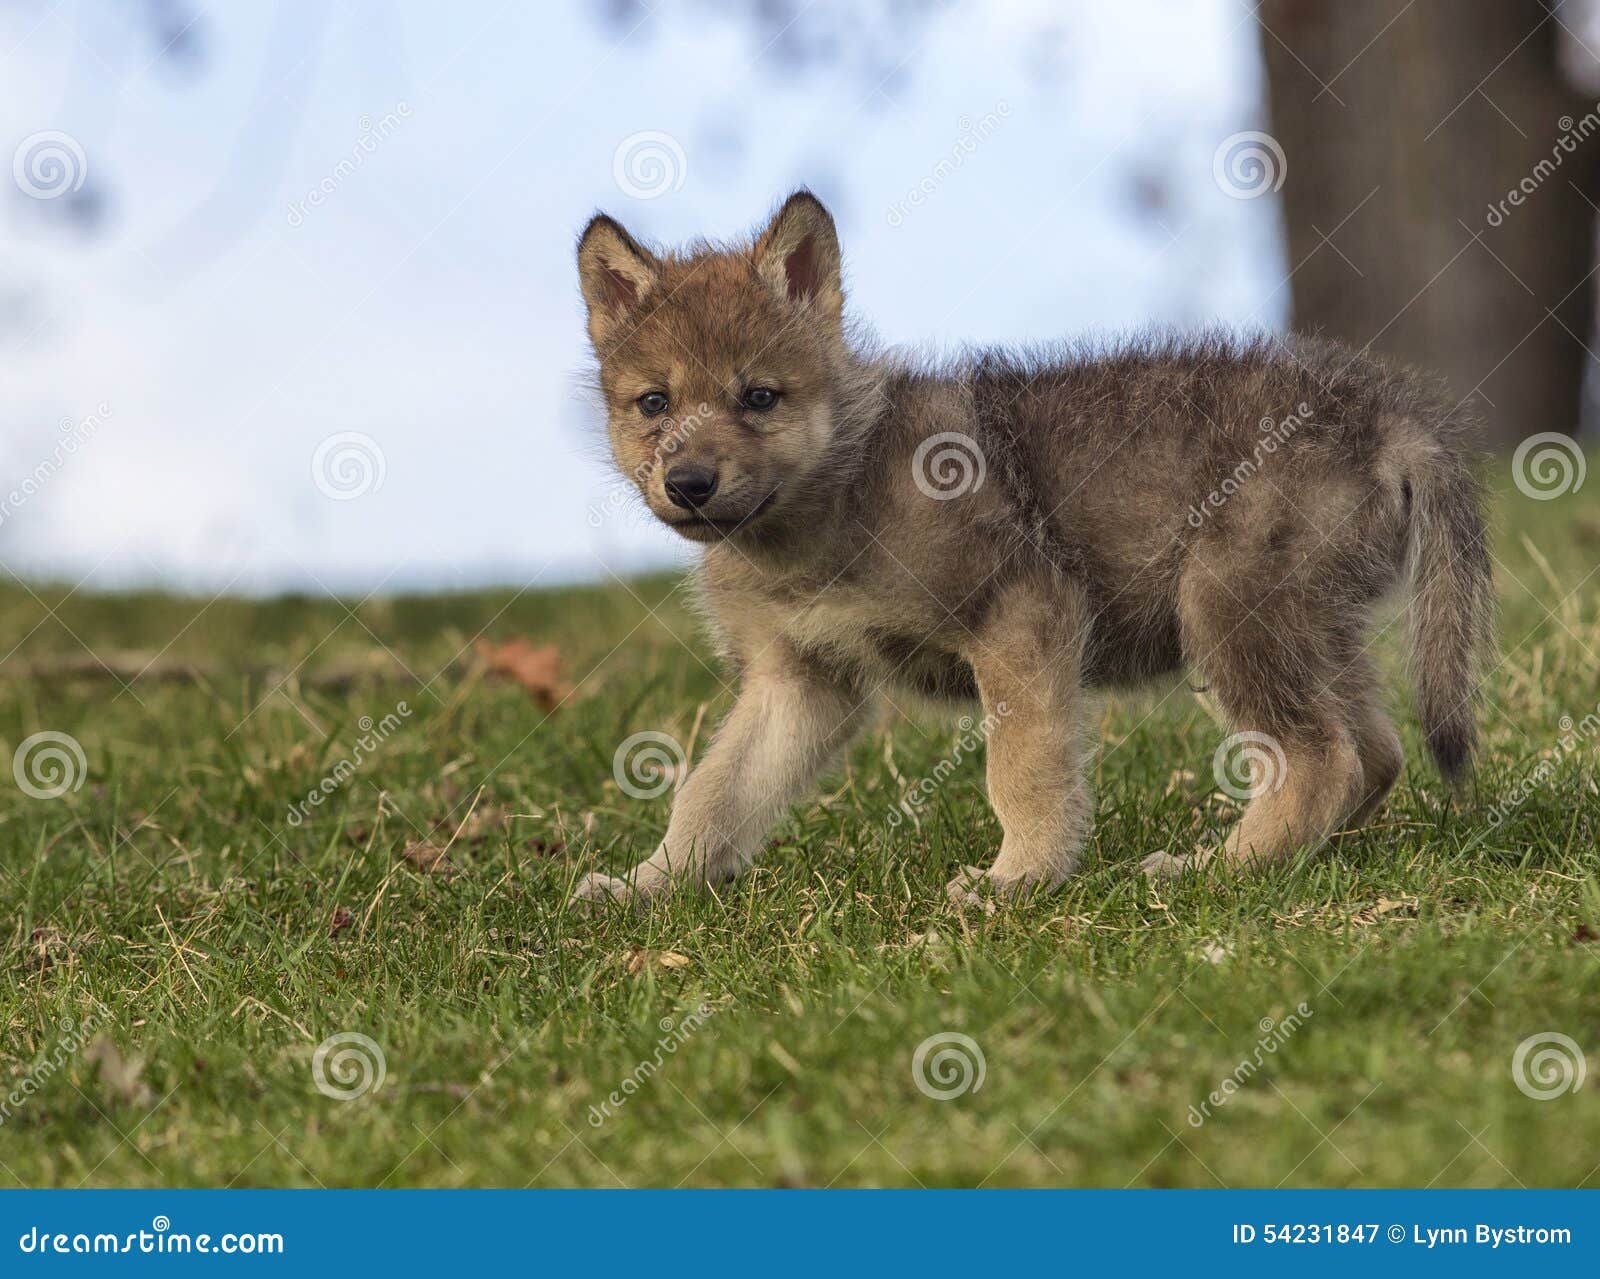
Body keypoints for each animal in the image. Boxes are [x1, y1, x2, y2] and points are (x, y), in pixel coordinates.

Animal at [572, 190, 1491, 909]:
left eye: (758, 397)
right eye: (654, 403)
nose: (689, 482)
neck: (826, 508)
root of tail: (1388, 420)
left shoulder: (1022, 612)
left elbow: (1020, 767)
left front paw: (1019, 879)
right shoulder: (799, 680)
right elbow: (713, 791)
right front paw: (653, 882)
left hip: (1226, 606)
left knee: (1321, 759)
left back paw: (1213, 870)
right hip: (1310, 627)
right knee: (1373, 753)